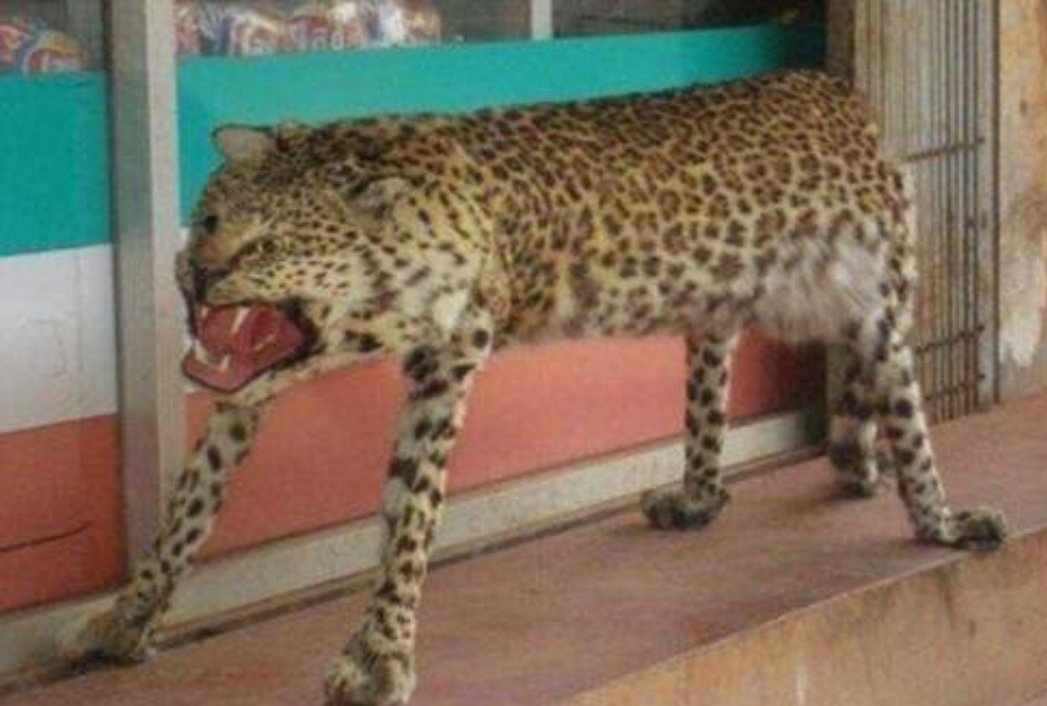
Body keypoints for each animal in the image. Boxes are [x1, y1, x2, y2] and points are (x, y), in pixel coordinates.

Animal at [59, 69, 1006, 706]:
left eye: (267, 245)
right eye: (209, 220)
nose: (194, 276)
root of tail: (832, 90)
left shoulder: (447, 360)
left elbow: (409, 516)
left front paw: (380, 654)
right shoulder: (252, 387)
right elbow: (190, 503)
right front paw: (127, 619)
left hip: (877, 303)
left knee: (905, 411)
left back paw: (939, 517)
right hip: (720, 310)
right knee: (714, 395)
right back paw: (704, 495)